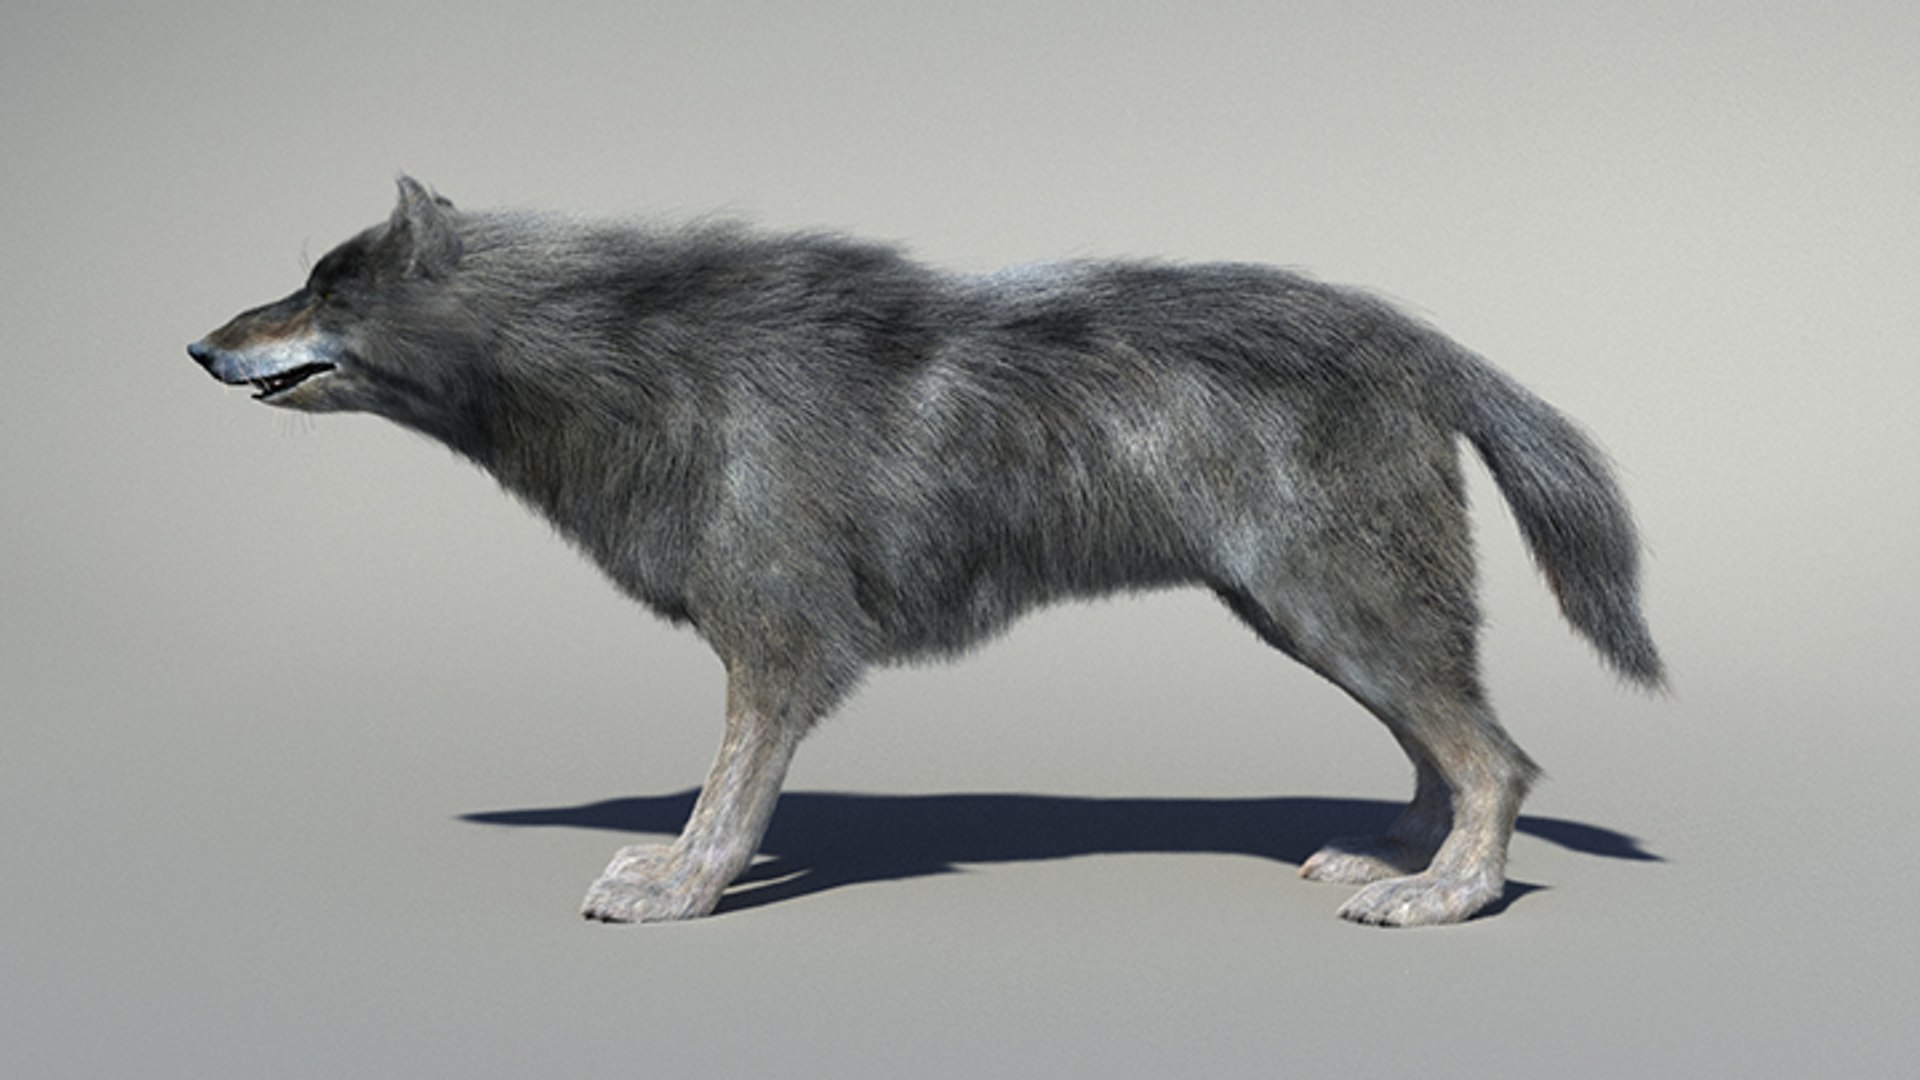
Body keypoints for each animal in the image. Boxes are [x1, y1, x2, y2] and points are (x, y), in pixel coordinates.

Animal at [190, 177, 1662, 927]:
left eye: (324, 288)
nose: (199, 345)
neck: (632, 359)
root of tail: (1420, 337)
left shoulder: (780, 647)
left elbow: (727, 800)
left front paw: (678, 887)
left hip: (1334, 604)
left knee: (1497, 757)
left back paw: (1447, 894)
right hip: (1309, 613)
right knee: (1444, 745)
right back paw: (1393, 855)